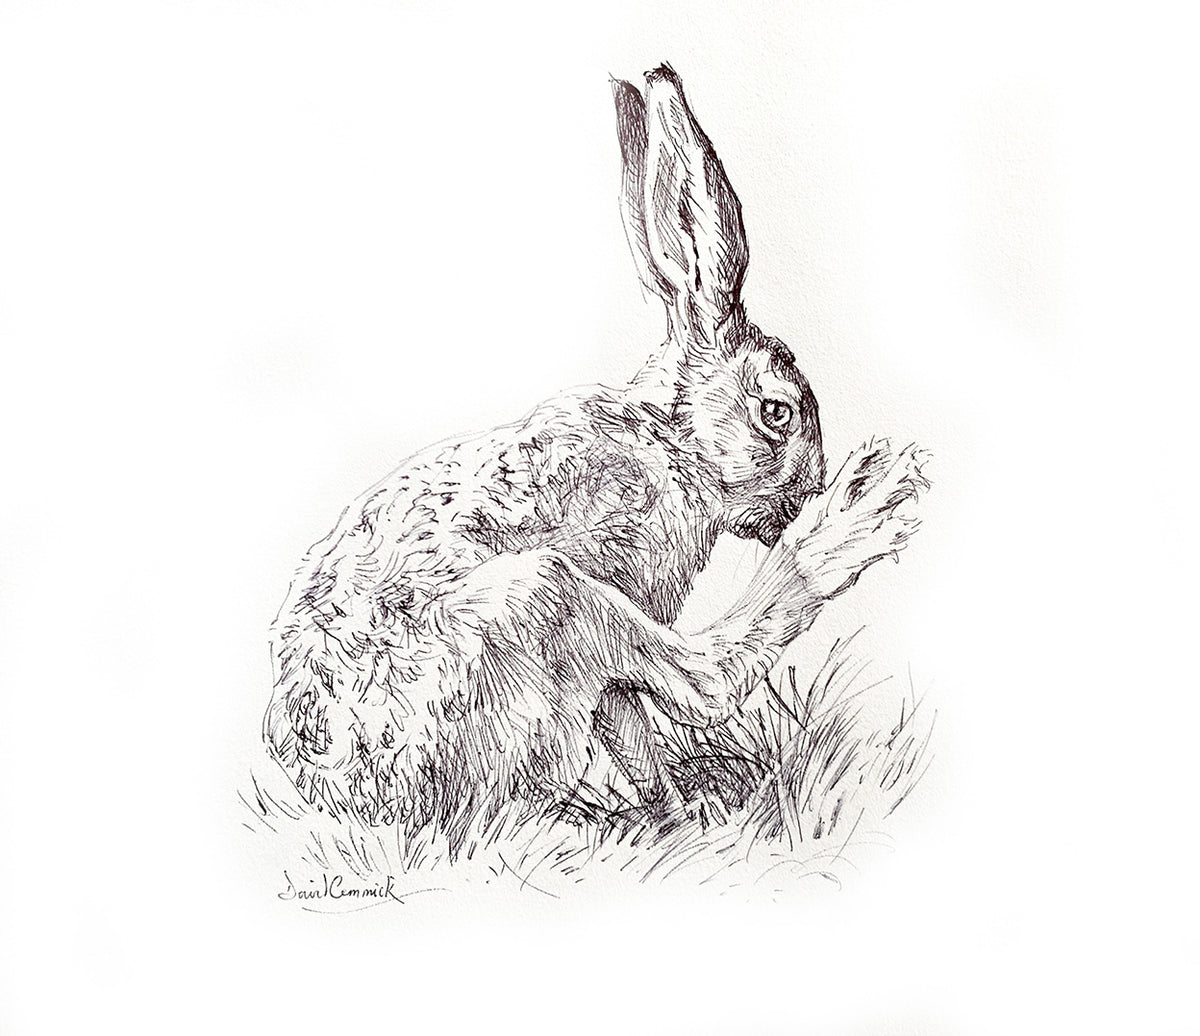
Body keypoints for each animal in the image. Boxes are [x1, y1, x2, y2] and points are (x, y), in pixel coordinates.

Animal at [263, 64, 927, 847]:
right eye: (777, 412)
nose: (801, 499)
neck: (670, 442)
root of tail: (370, 807)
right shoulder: (608, 581)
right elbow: (670, 695)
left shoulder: (610, 671)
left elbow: (630, 728)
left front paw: (676, 810)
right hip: (541, 594)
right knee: (708, 677)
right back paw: (855, 522)